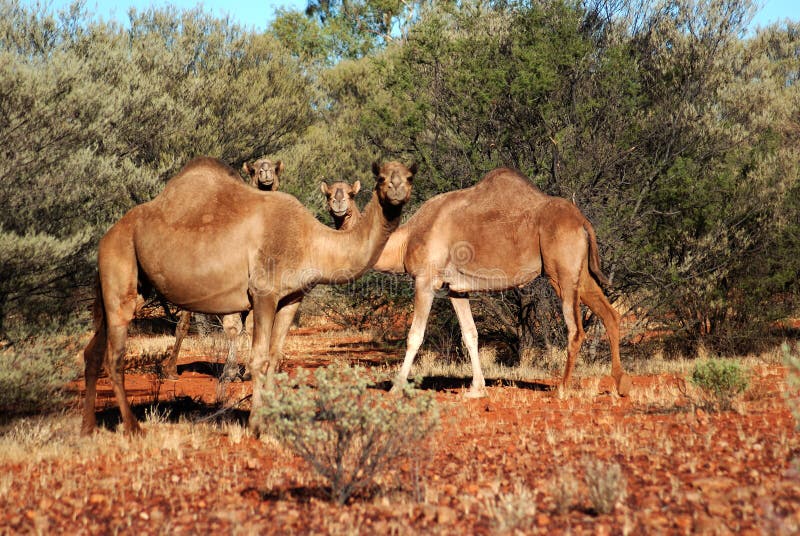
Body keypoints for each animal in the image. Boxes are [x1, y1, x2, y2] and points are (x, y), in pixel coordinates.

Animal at [81, 157, 415, 435]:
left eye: (410, 176)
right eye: (381, 177)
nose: (398, 189)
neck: (311, 241)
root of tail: (107, 235)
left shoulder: (291, 299)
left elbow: (275, 357)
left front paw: (271, 420)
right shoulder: (263, 293)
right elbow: (258, 360)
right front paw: (256, 425)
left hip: (128, 284)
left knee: (92, 352)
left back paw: (88, 427)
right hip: (120, 265)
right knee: (114, 356)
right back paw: (133, 427)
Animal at [358, 167, 630, 397]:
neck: (407, 239)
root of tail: (582, 222)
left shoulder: (426, 280)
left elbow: (415, 335)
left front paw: (396, 387)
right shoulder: (456, 289)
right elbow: (470, 334)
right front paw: (476, 389)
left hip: (561, 272)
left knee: (575, 328)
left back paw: (561, 389)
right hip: (580, 274)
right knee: (610, 315)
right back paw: (620, 384)